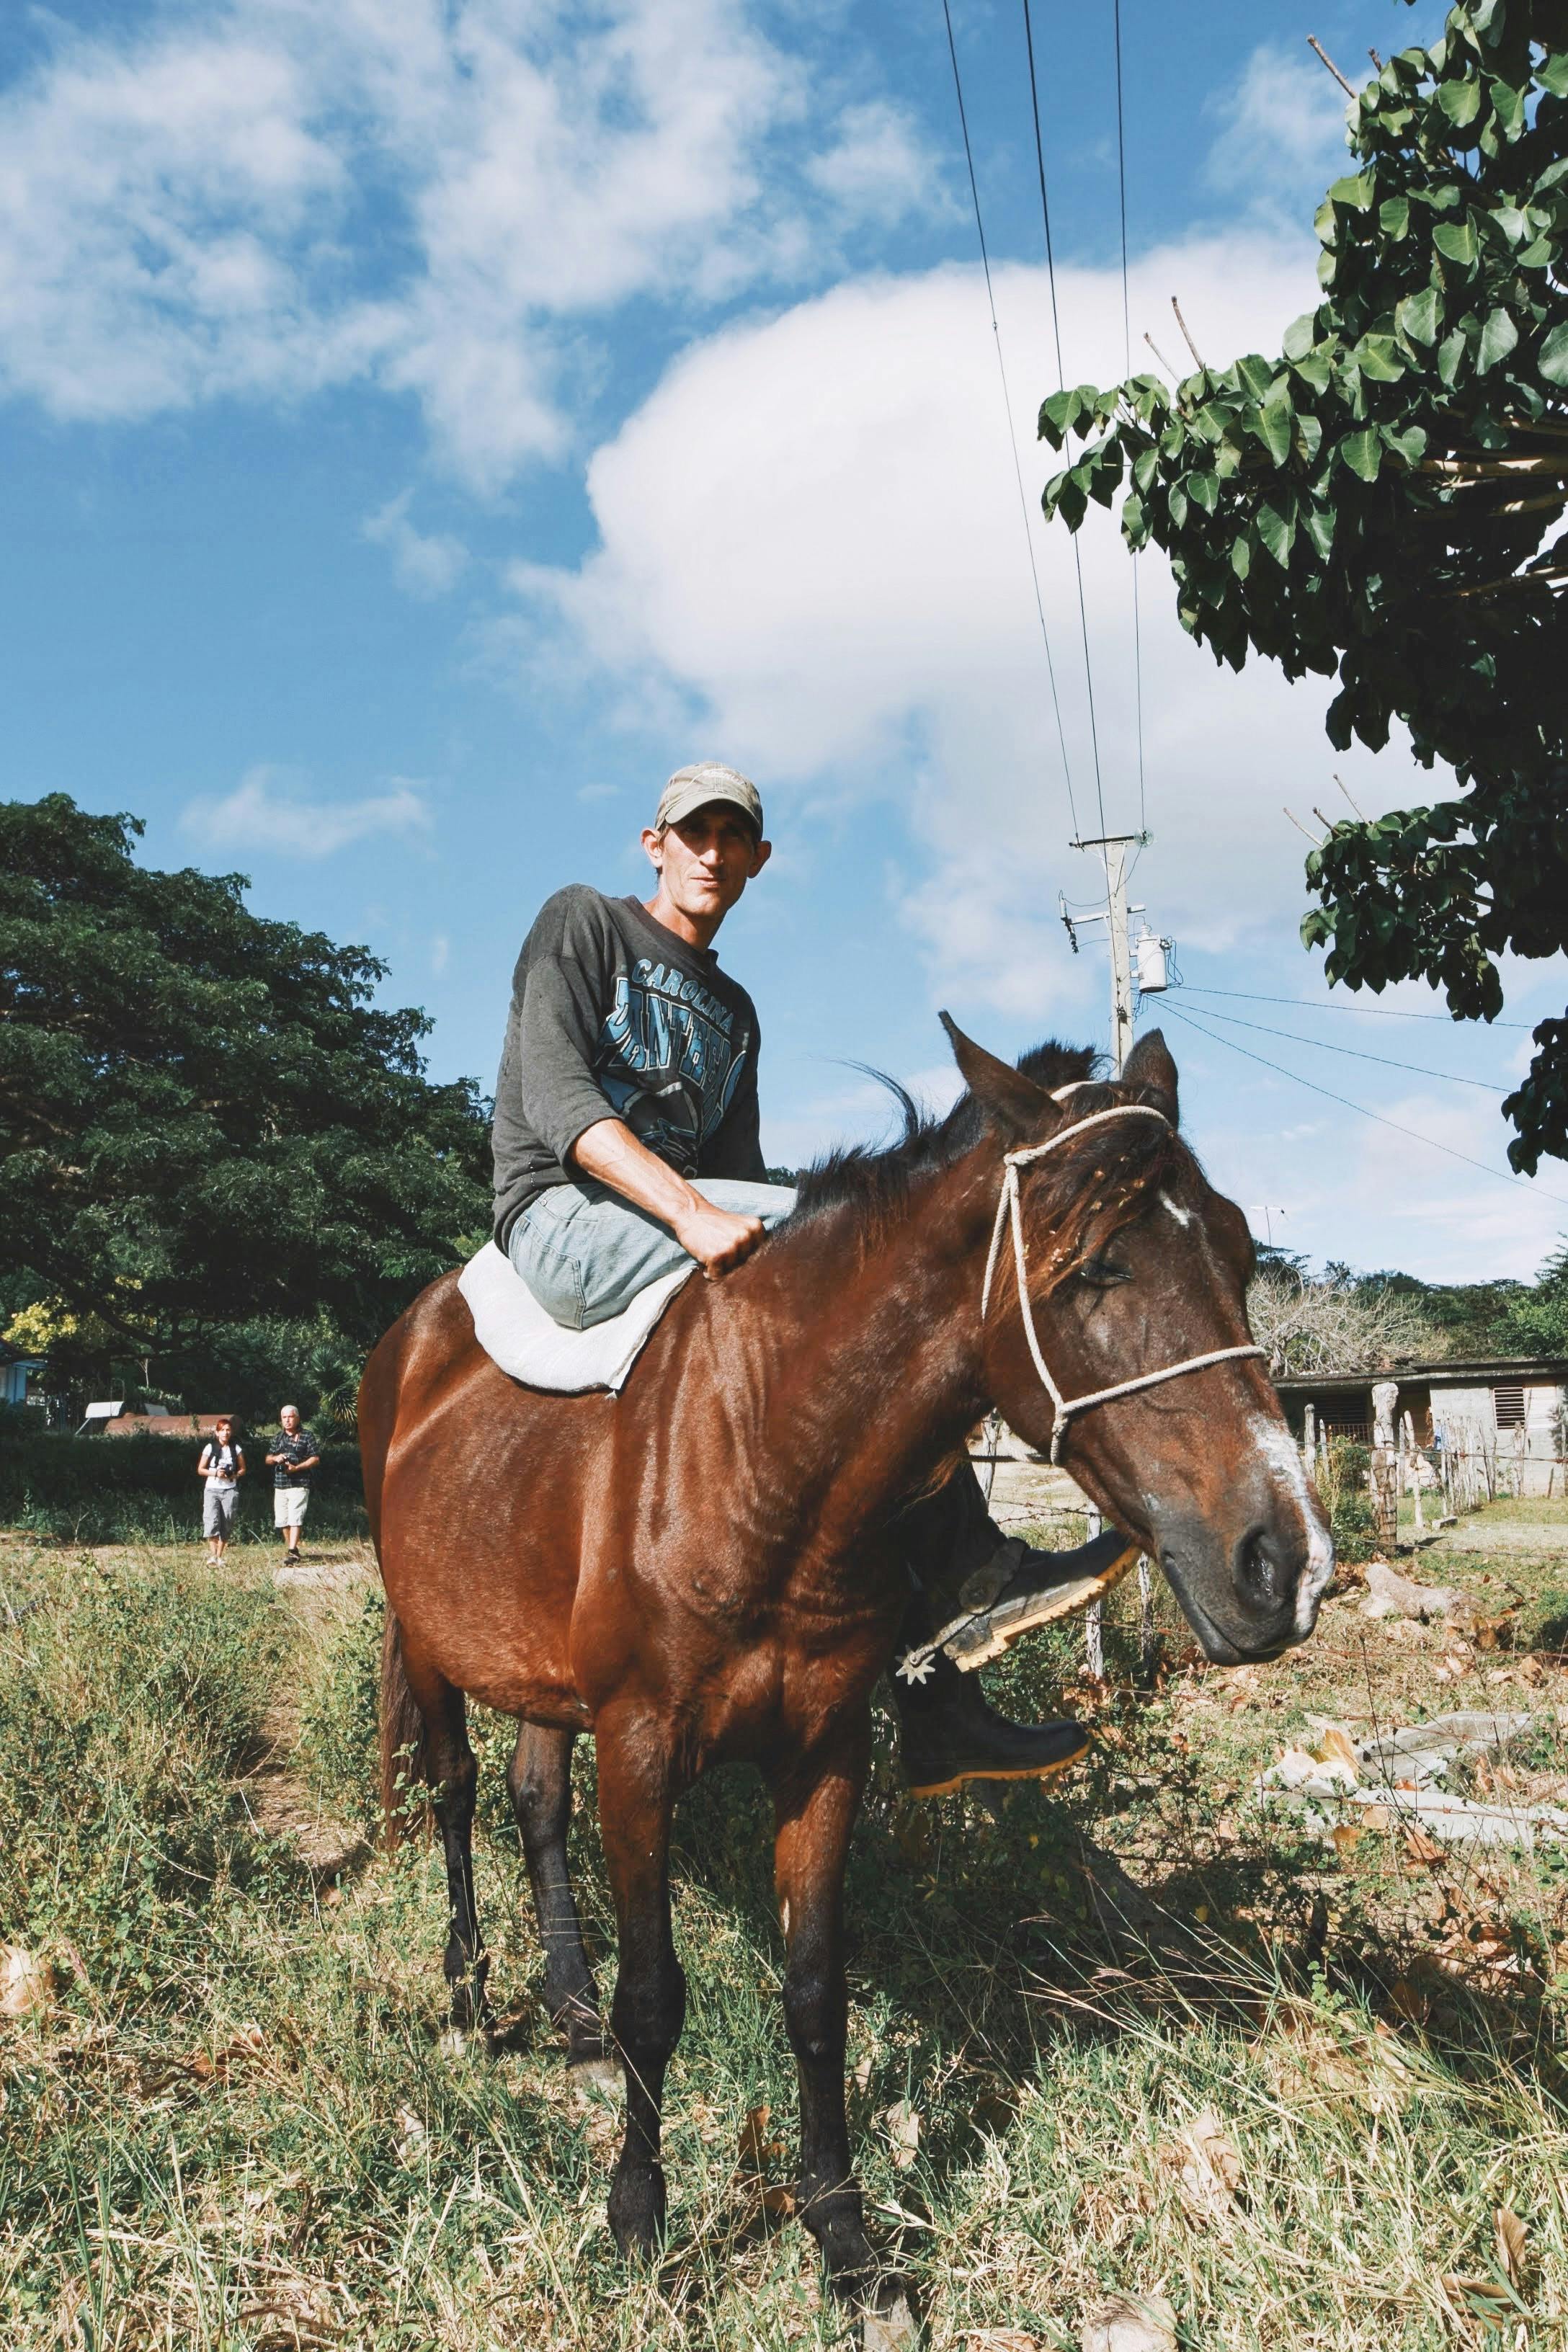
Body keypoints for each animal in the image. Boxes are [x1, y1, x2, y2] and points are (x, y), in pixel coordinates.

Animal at [358, 1021, 1332, 2317]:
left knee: (533, 1797)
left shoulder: (821, 1749)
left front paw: (844, 2235)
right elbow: (655, 1995)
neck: (759, 1443)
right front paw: (639, 2218)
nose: (1286, 1563)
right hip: (429, 1643)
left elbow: (816, 1990)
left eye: (1238, 1250)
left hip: (538, 1671)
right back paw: (474, 2001)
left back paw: (566, 2008)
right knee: (459, 1797)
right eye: (1098, 1267)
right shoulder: (641, 1748)